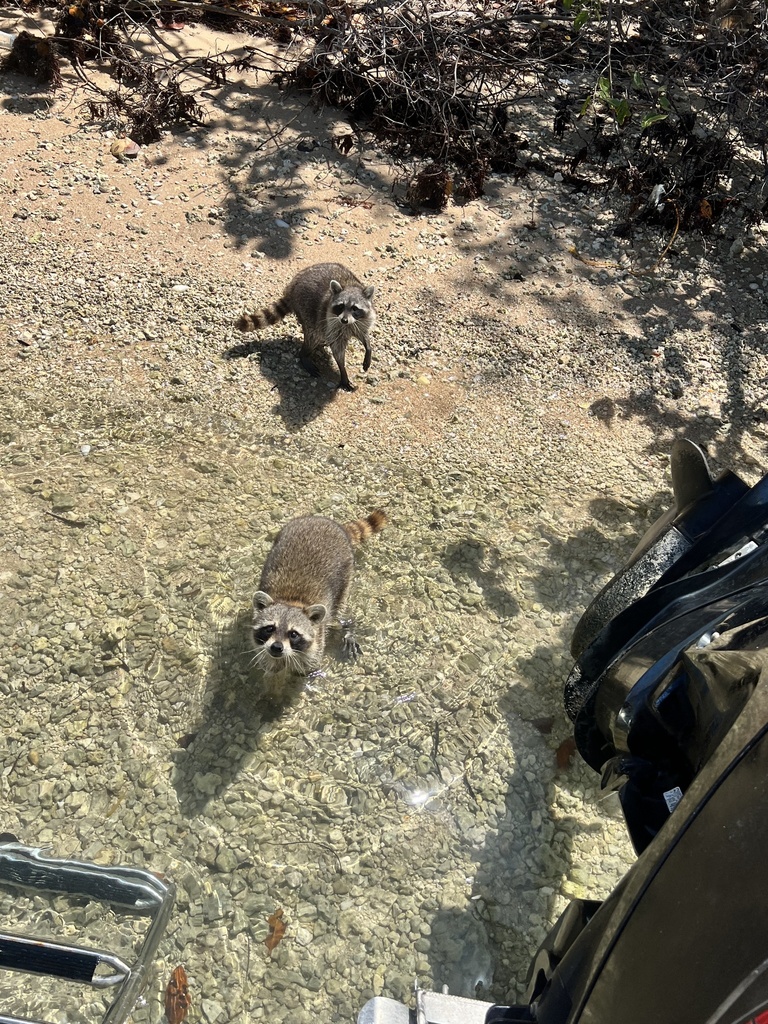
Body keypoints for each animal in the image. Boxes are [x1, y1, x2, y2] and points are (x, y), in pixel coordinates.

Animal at [235, 262, 376, 391]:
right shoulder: (332, 323)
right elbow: (338, 351)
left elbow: (364, 334)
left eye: (354, 308)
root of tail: (292, 287)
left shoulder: (362, 320)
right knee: (313, 336)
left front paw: (368, 349)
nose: (344, 320)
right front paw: (343, 373)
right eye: (340, 306)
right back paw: (304, 355)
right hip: (305, 309)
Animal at [251, 510, 387, 691]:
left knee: (339, 616)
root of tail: (329, 523)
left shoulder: (315, 646)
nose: (277, 647)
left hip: (345, 577)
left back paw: (348, 628)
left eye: (293, 634)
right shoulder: (265, 651)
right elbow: (271, 670)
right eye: (269, 628)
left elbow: (304, 673)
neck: (291, 601)